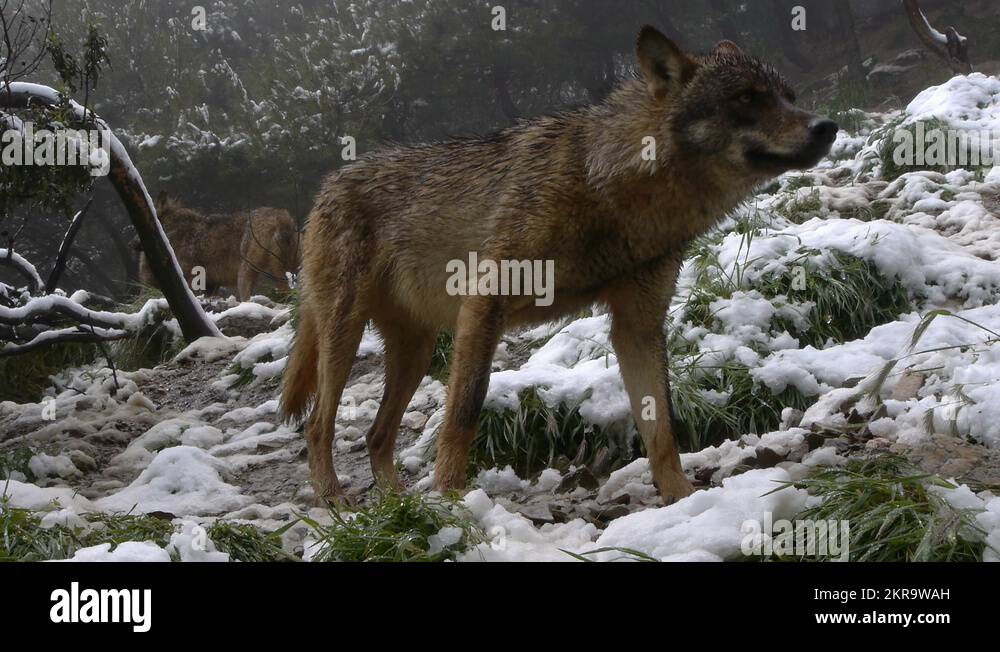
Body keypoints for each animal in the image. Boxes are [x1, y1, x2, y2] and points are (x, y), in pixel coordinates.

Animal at [138, 193, 300, 300]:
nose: (133, 245)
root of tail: (281, 218)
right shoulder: (211, 286)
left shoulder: (192, 281)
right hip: (284, 271)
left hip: (246, 273)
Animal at [282, 26, 838, 504]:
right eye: (747, 98)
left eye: (787, 95)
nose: (827, 126)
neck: (614, 194)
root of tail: (325, 188)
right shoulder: (483, 304)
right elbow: (464, 412)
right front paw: (452, 506)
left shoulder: (638, 326)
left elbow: (661, 427)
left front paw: (682, 500)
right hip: (346, 337)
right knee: (317, 424)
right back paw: (337, 503)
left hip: (416, 351)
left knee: (377, 434)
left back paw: (397, 504)